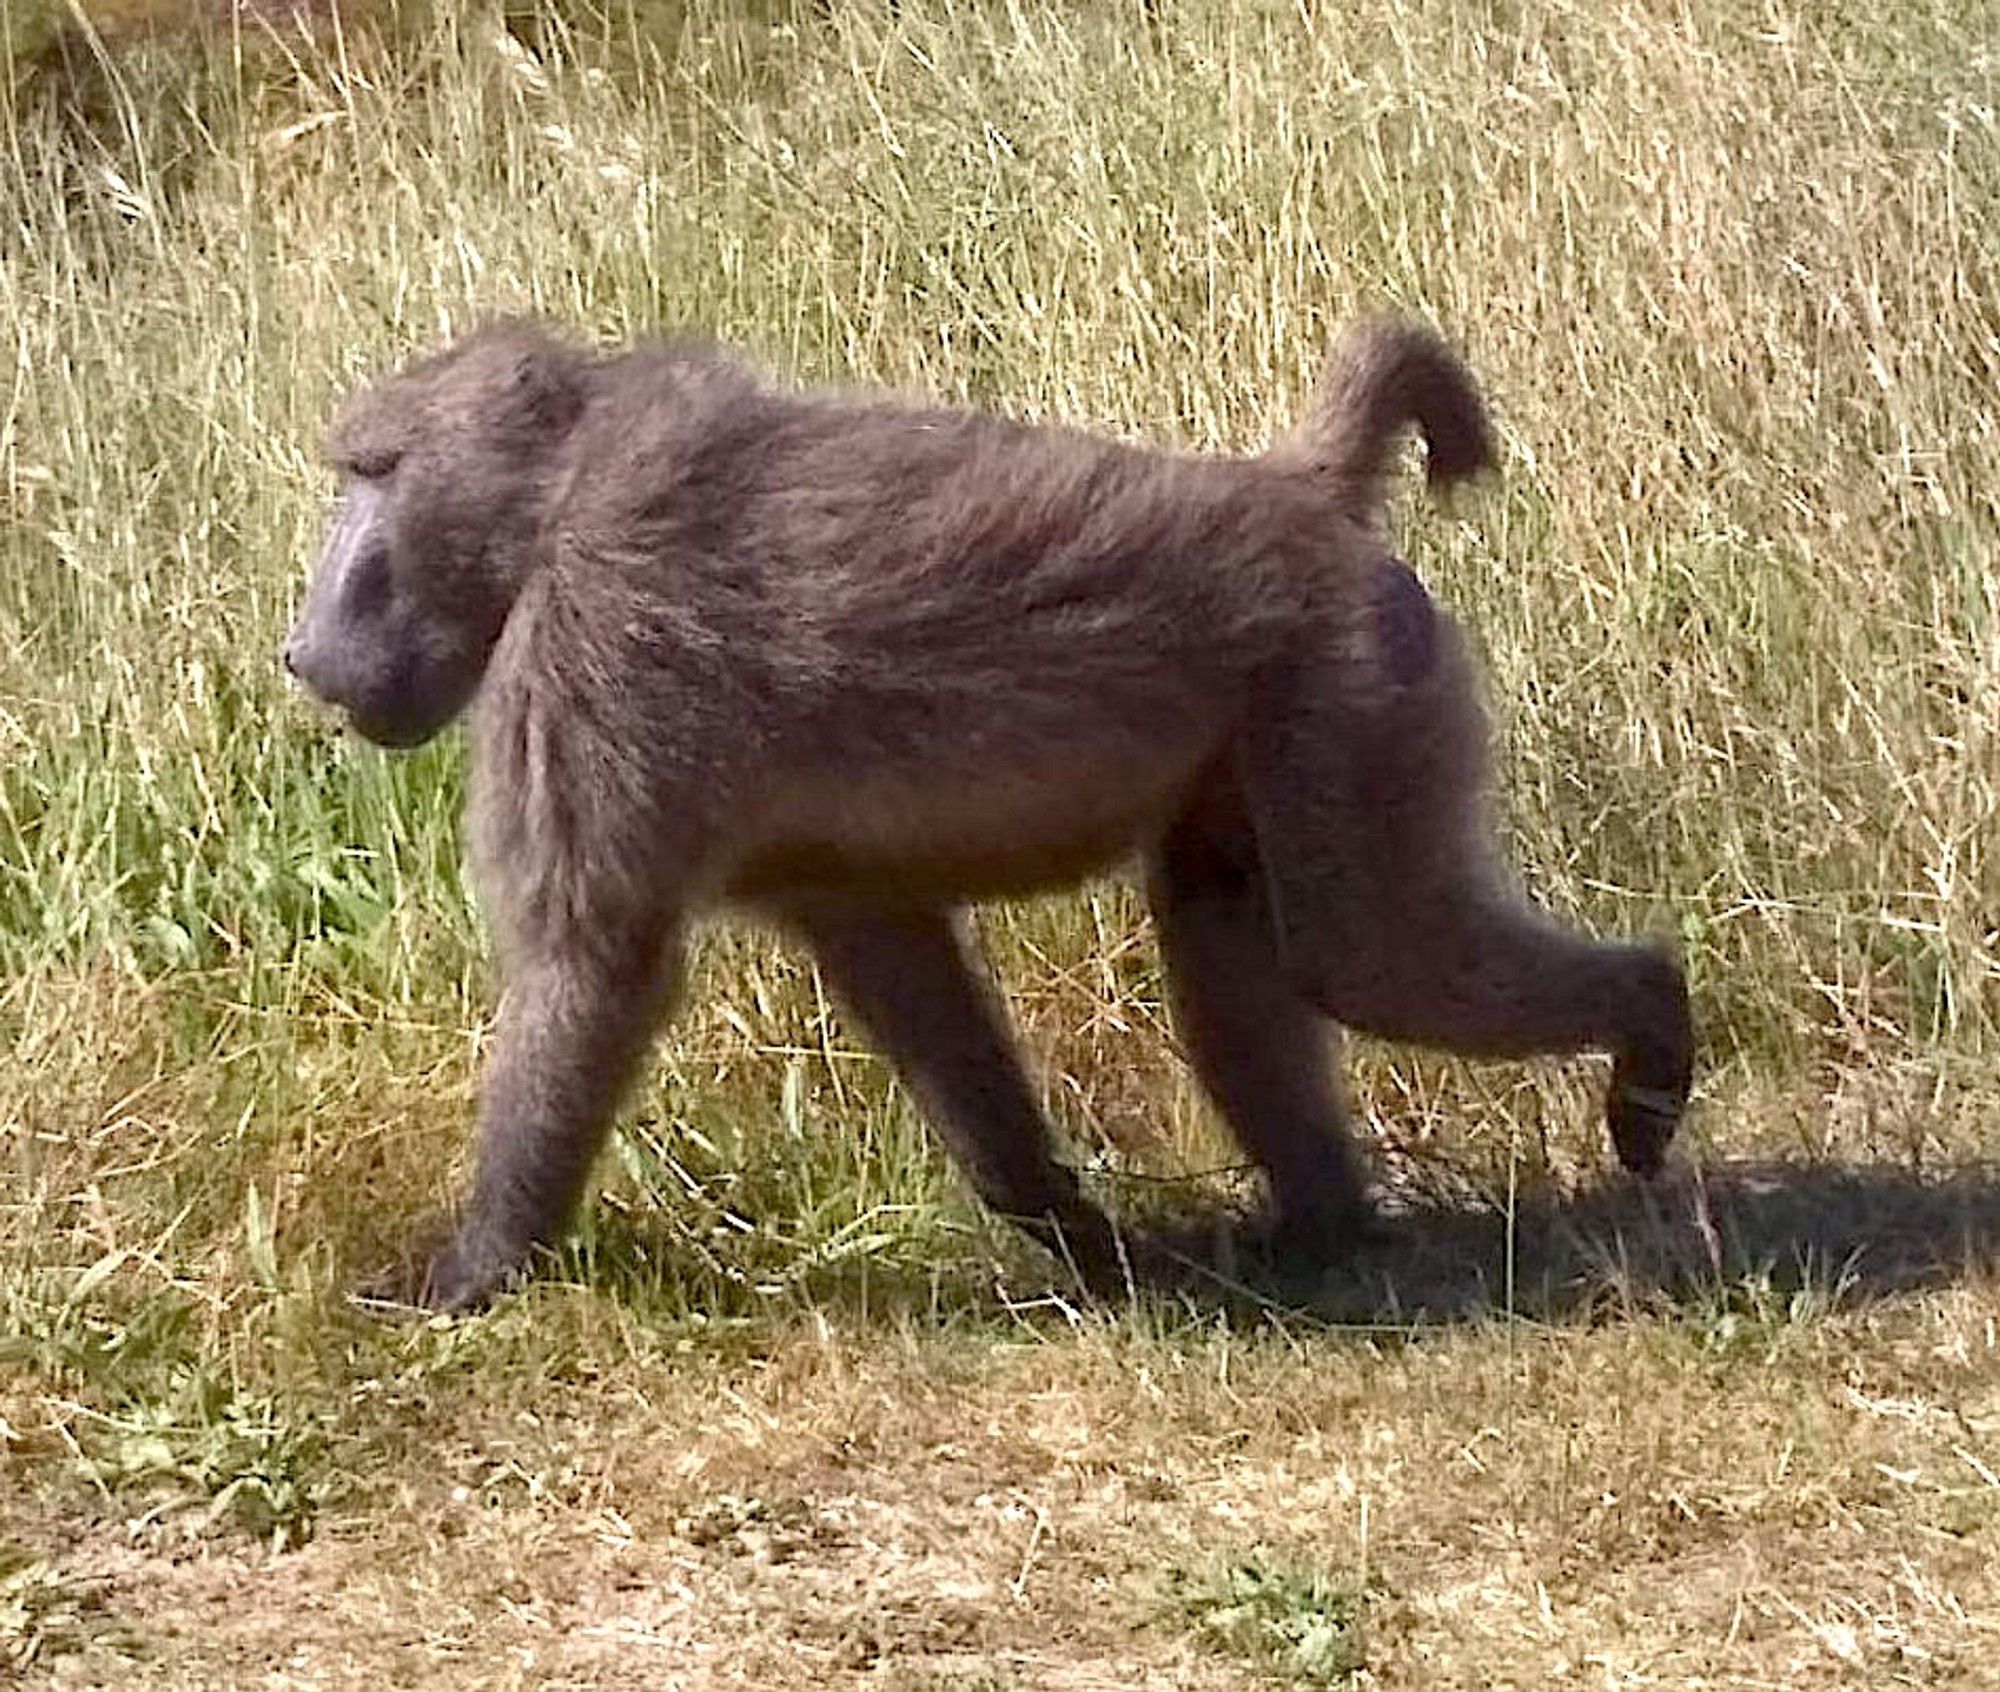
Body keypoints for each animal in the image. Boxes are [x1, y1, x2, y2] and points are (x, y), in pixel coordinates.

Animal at [283, 315, 1693, 1309]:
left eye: (370, 474)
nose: (301, 651)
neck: (554, 495)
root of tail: (1296, 490)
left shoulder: (591, 648)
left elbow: (594, 961)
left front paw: (465, 1274)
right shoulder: (833, 881)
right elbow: (906, 977)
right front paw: (1072, 1234)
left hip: (1349, 689)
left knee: (1363, 957)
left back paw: (1650, 1037)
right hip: (1277, 731)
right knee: (1229, 940)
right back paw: (1322, 1233)